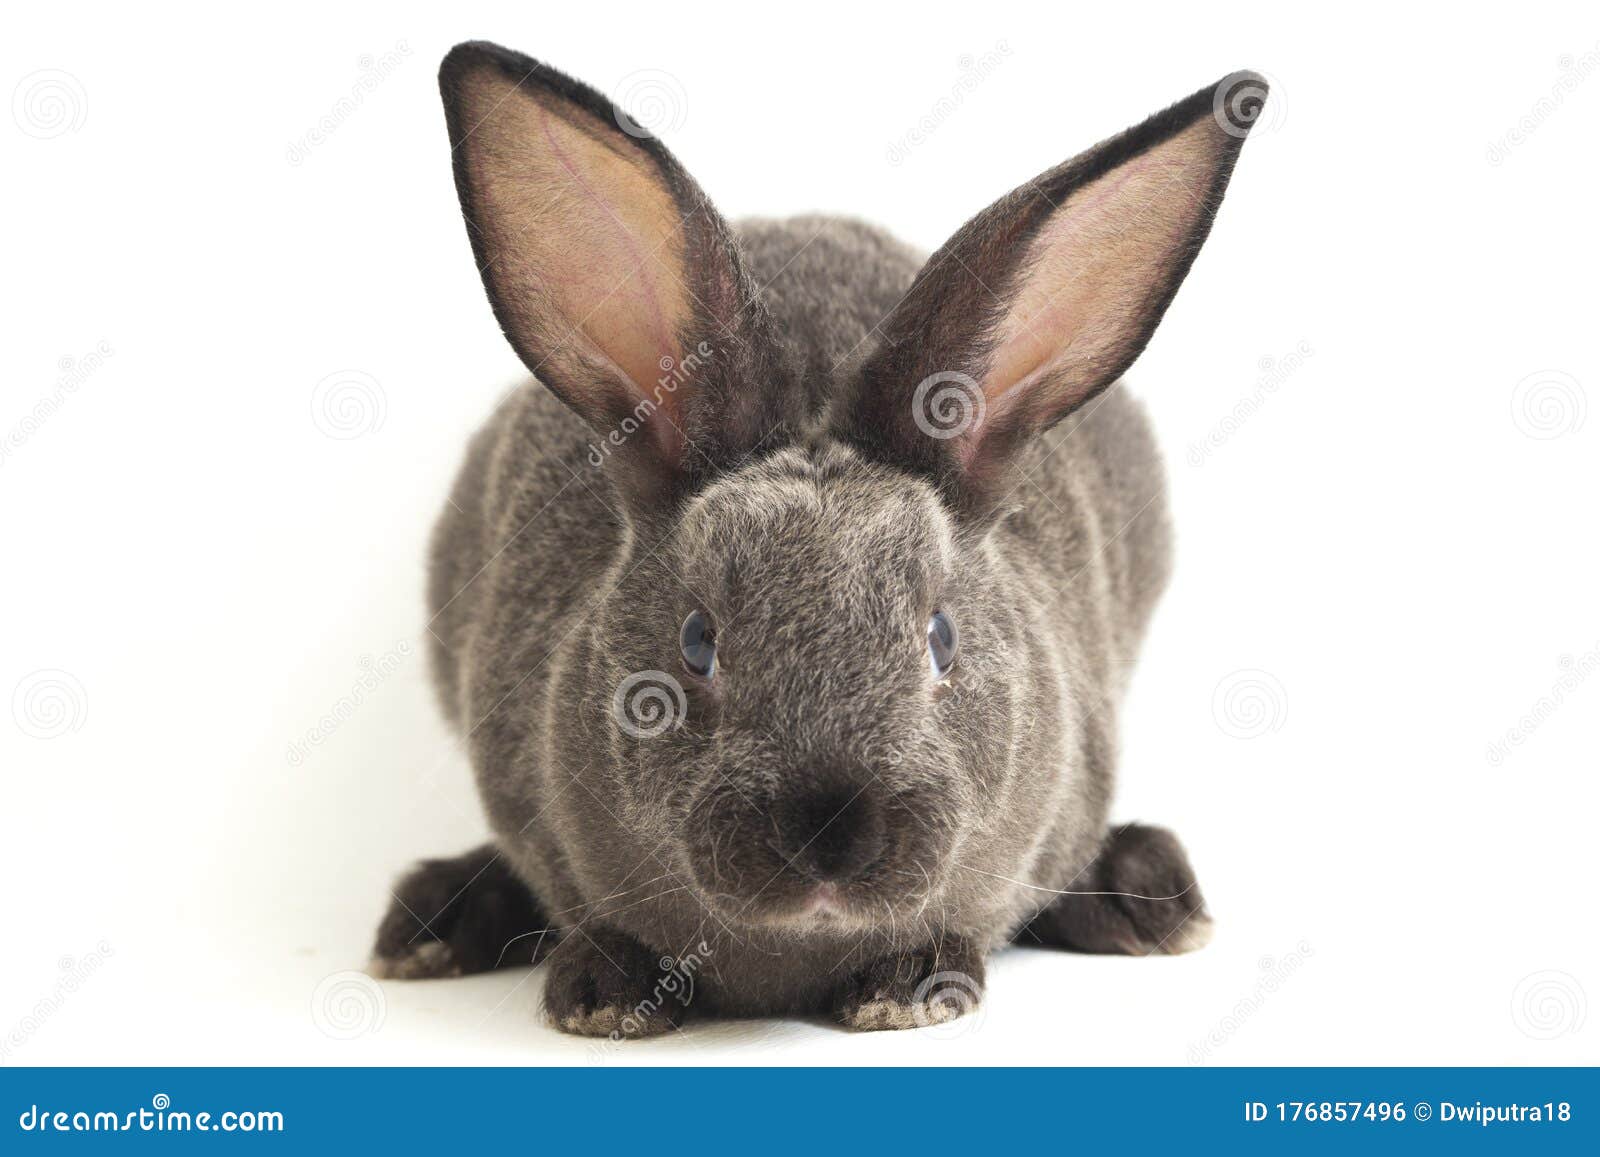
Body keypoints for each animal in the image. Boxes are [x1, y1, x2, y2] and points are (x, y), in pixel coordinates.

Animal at [369, 40, 1267, 1036]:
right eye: (698, 641)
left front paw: (909, 985)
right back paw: (431, 924)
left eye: (940, 637)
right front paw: (606, 991)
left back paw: (1148, 897)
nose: (832, 837)